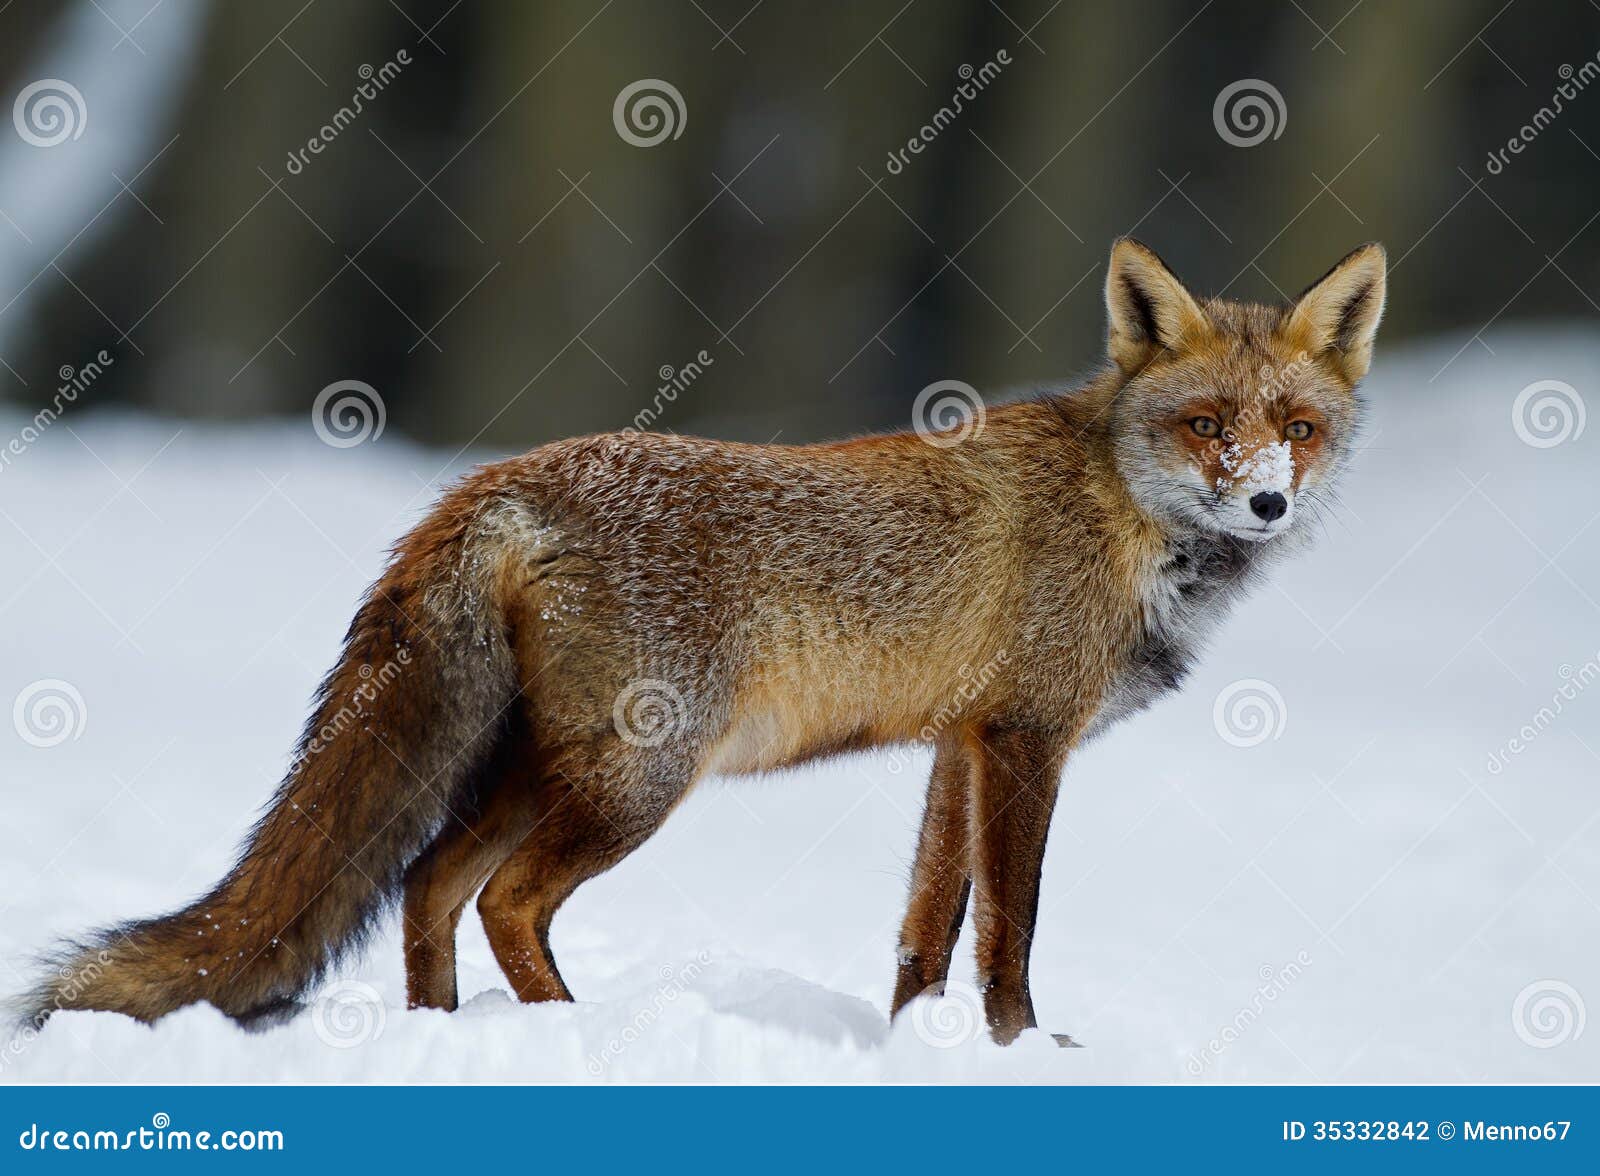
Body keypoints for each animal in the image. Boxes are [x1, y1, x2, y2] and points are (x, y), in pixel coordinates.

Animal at [22, 237, 1385, 1046]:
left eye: (1297, 430)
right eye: (1206, 425)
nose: (1266, 502)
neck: (1122, 516)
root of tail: (498, 481)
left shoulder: (959, 744)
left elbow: (926, 928)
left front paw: (914, 1047)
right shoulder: (1026, 738)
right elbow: (1010, 928)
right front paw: (1009, 1049)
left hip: (541, 767)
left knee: (428, 885)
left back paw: (449, 1040)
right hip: (637, 776)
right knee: (503, 899)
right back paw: (570, 1037)